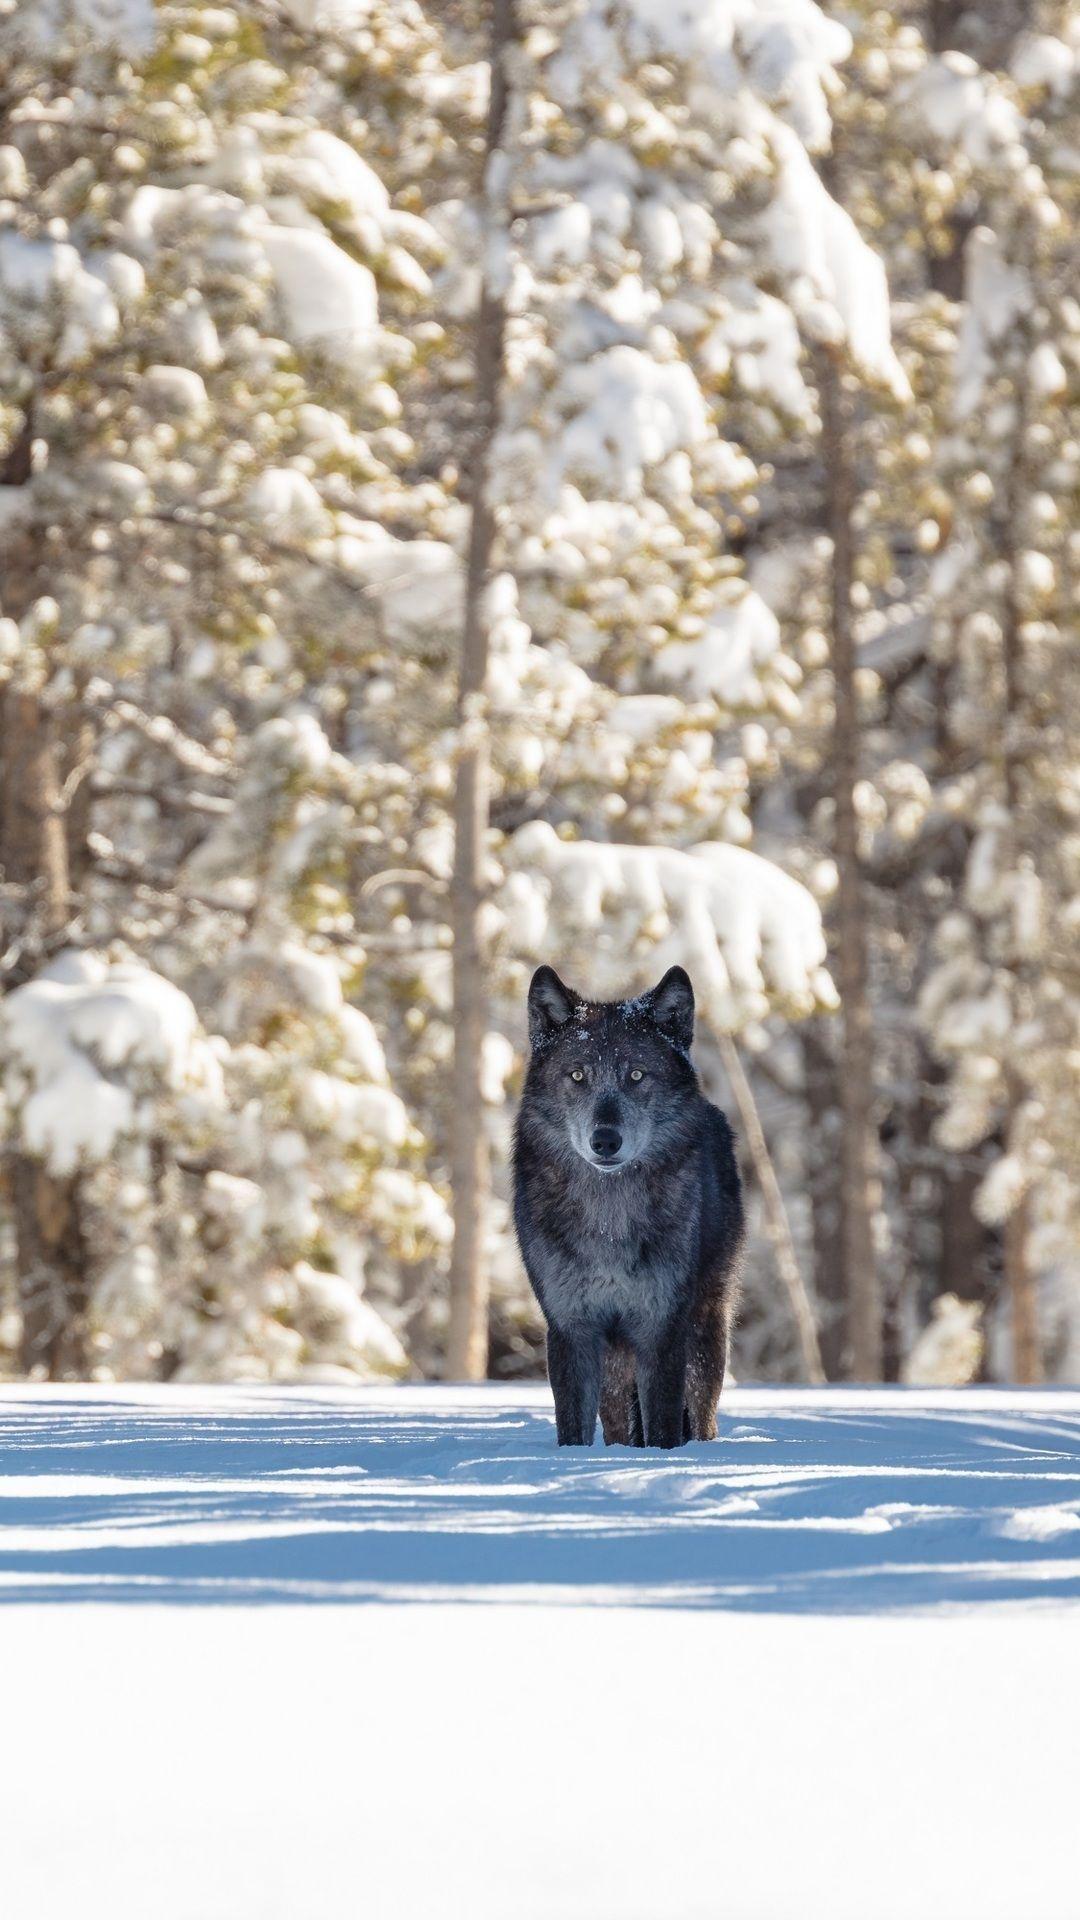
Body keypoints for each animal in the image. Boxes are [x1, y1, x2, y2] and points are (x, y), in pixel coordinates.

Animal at [513, 964, 744, 1448]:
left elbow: (663, 1426)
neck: (609, 1220)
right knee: (620, 1422)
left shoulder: (662, 1327)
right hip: (617, 1364)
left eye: (636, 1076)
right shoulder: (572, 1327)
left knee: (702, 1415)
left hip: (705, 1333)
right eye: (577, 1076)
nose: (605, 1140)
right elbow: (573, 1429)